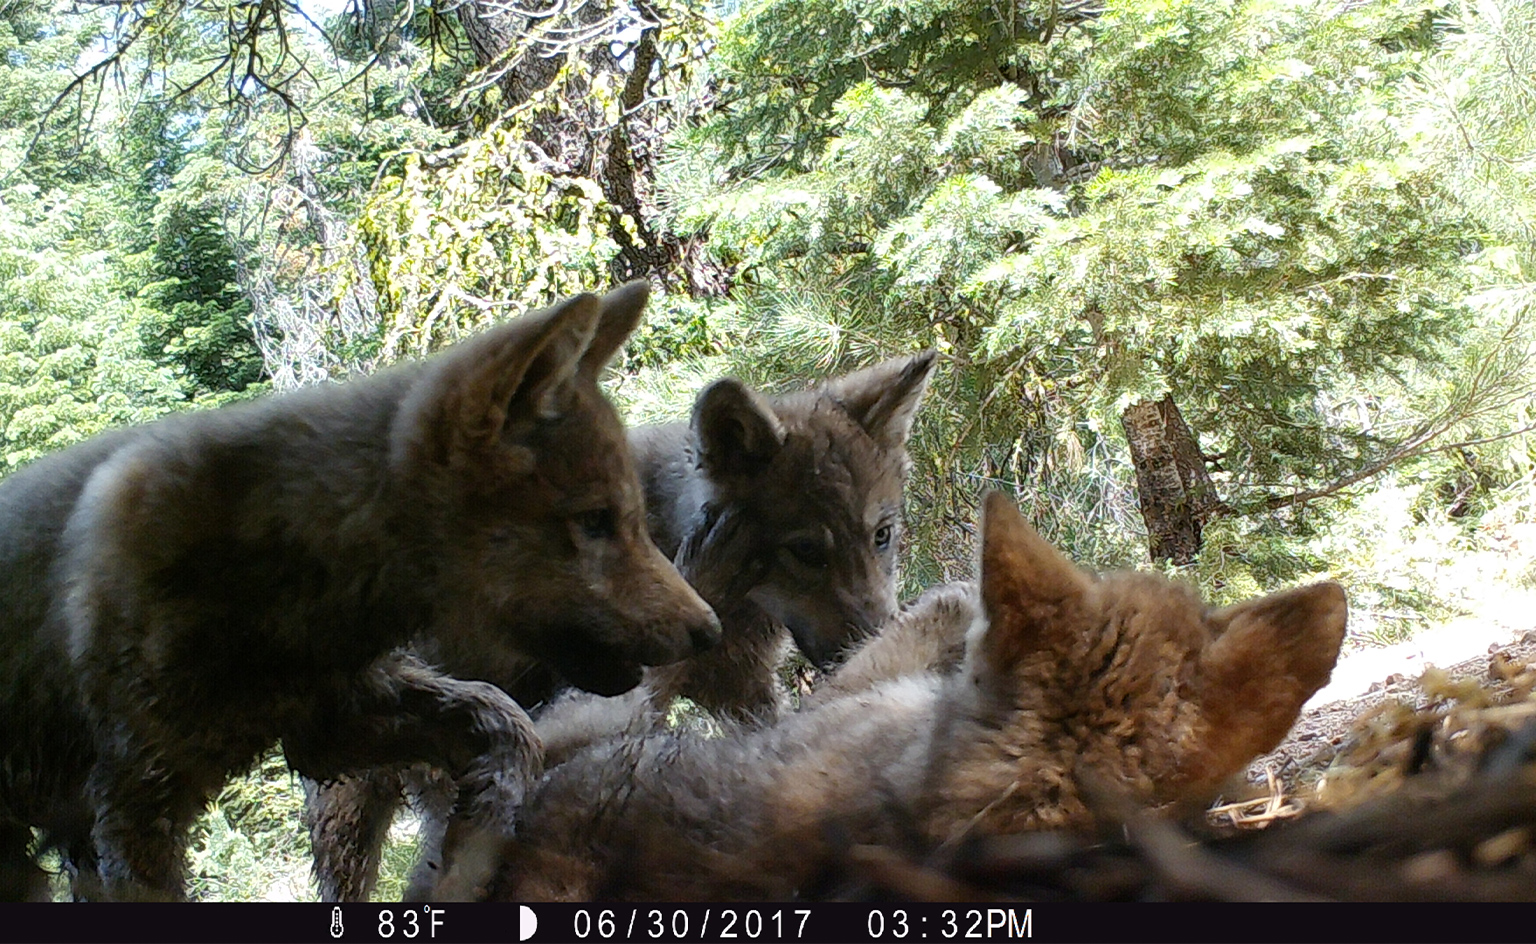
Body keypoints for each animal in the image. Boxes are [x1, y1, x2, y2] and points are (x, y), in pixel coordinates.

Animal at [0, 282, 719, 901]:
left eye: (634, 518)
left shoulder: (333, 723)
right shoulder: (133, 804)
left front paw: (469, 847)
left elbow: (509, 729)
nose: (709, 630)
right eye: (594, 522)